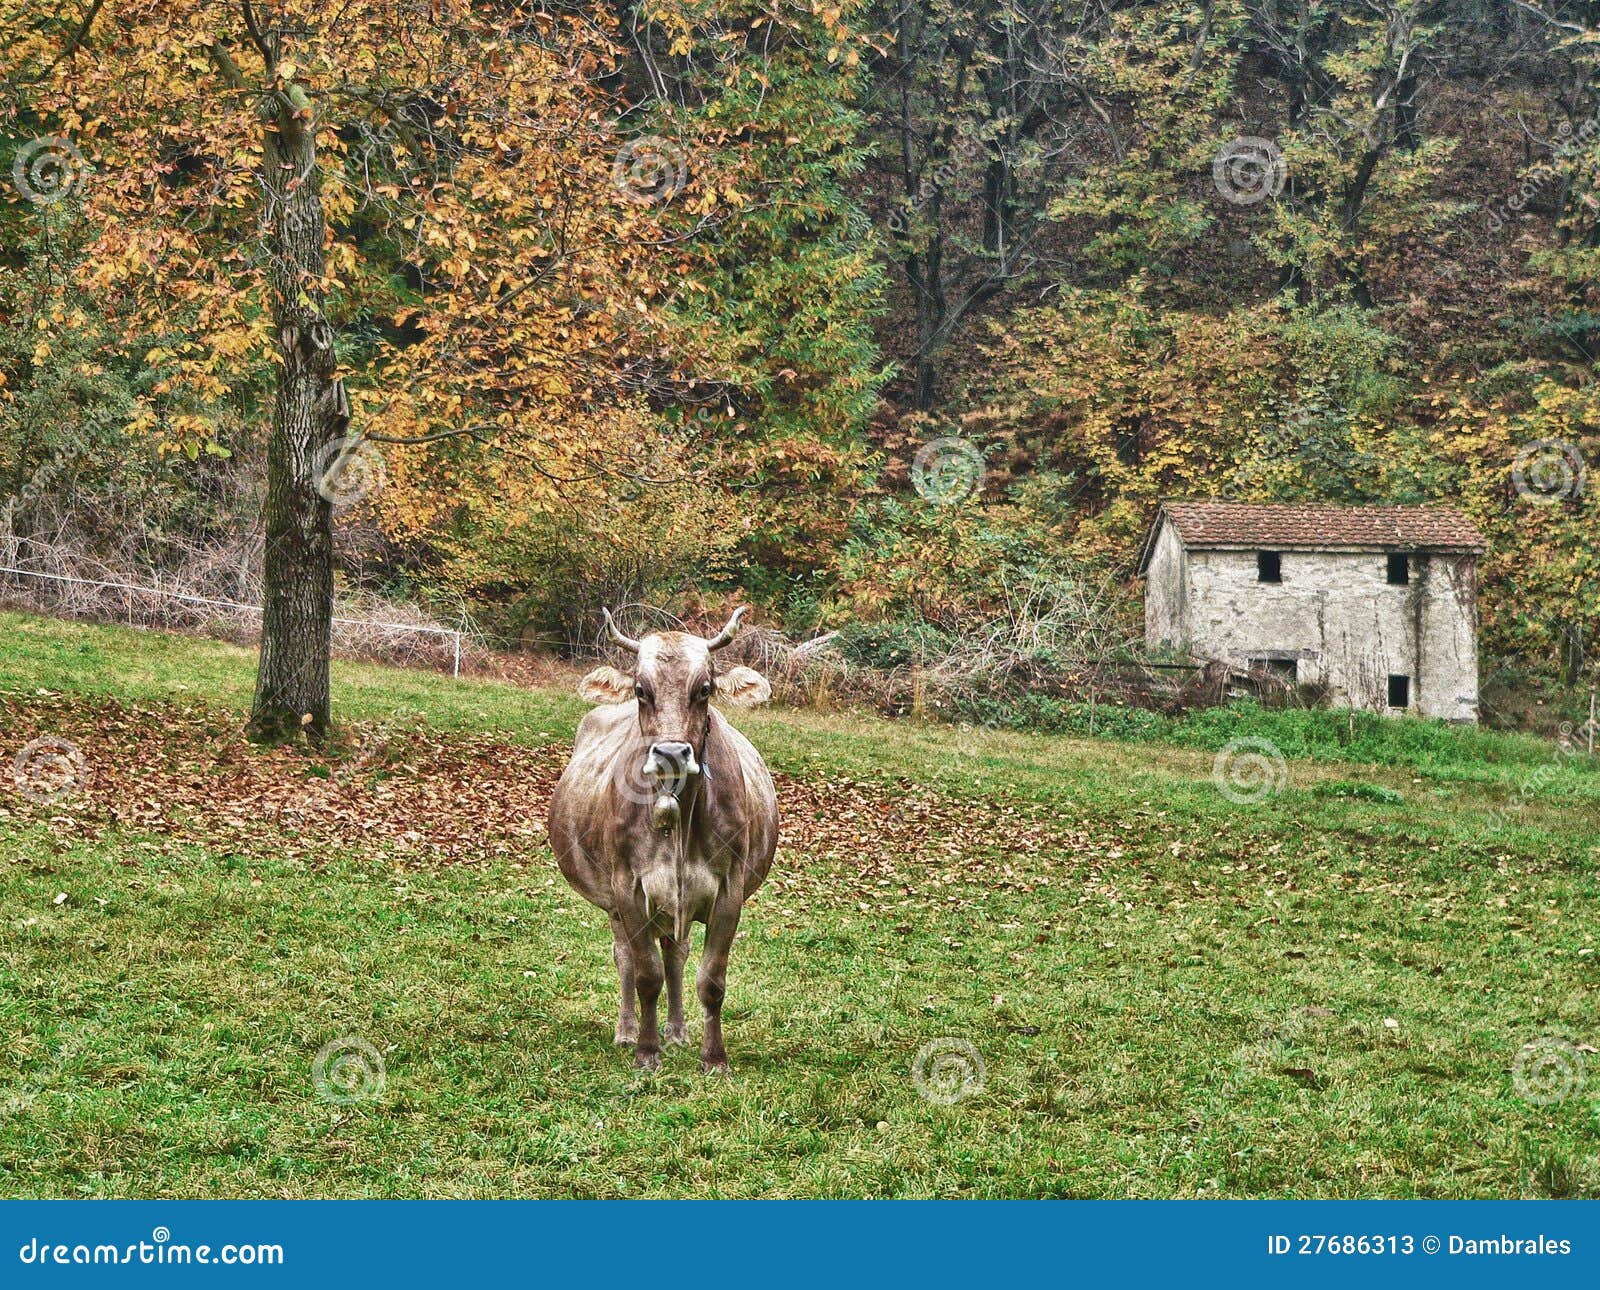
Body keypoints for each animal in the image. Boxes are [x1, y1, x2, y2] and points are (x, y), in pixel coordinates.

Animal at [547, 607, 778, 1072]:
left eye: (704, 689)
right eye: (641, 690)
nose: (671, 753)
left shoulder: (729, 891)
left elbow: (710, 980)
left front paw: (714, 1057)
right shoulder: (629, 888)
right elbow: (645, 974)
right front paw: (646, 1051)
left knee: (675, 954)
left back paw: (677, 1031)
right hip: (615, 901)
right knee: (625, 958)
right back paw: (627, 1031)